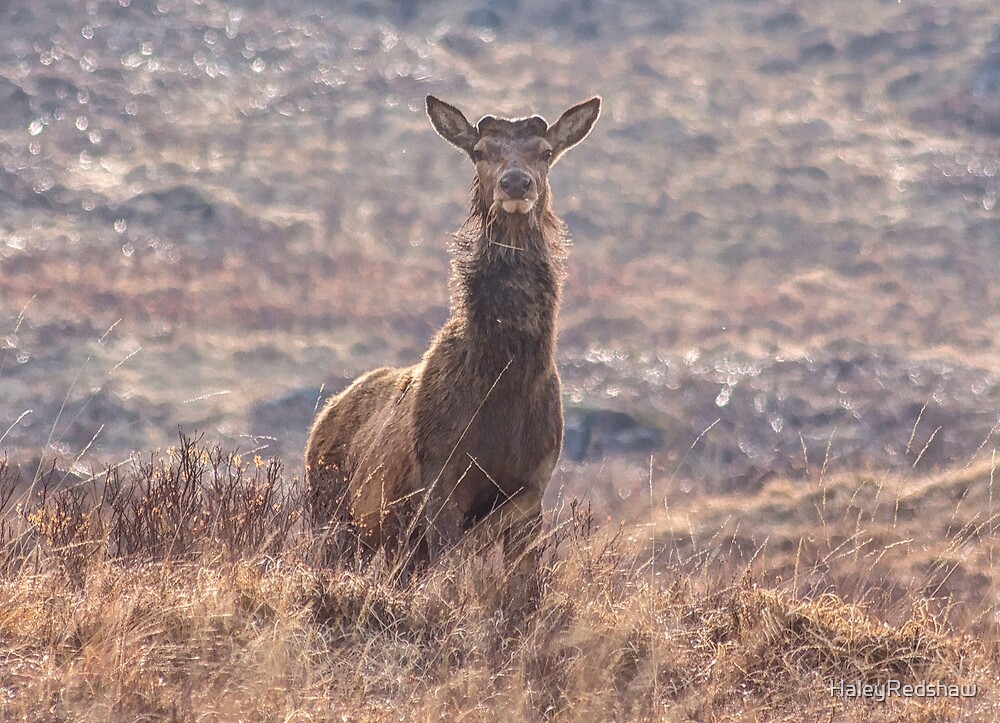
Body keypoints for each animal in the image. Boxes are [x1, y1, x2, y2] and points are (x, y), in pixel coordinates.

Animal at [304, 94, 601, 575]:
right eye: (479, 151)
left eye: (545, 152)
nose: (515, 183)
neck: (503, 386)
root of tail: (321, 421)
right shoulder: (440, 477)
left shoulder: (533, 484)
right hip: (330, 517)